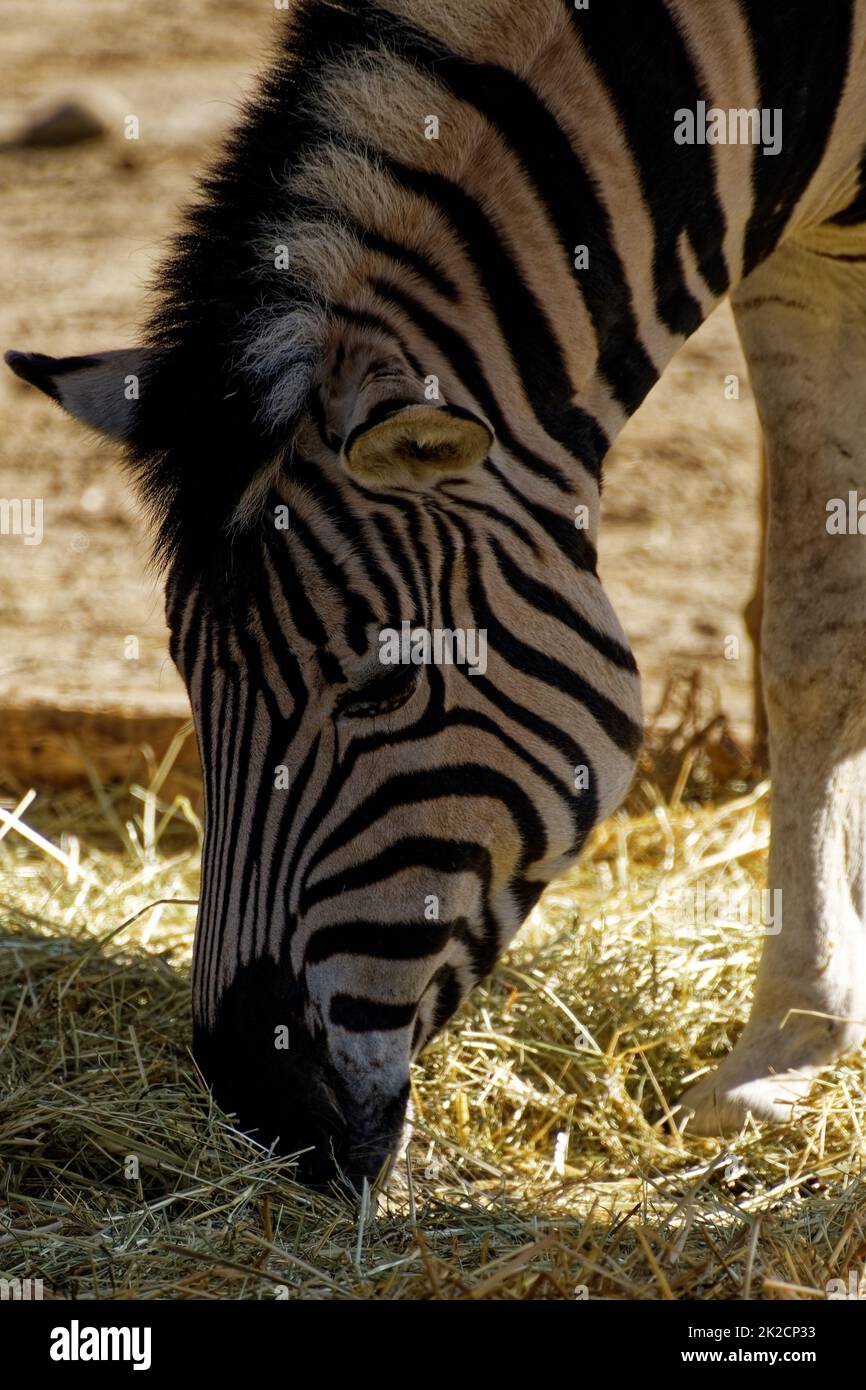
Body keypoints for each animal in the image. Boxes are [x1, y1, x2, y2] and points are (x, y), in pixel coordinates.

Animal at [7, 0, 866, 1188]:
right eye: (187, 679)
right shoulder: (797, 260)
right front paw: (792, 1035)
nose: (259, 1108)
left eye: (378, 687)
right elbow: (808, 632)